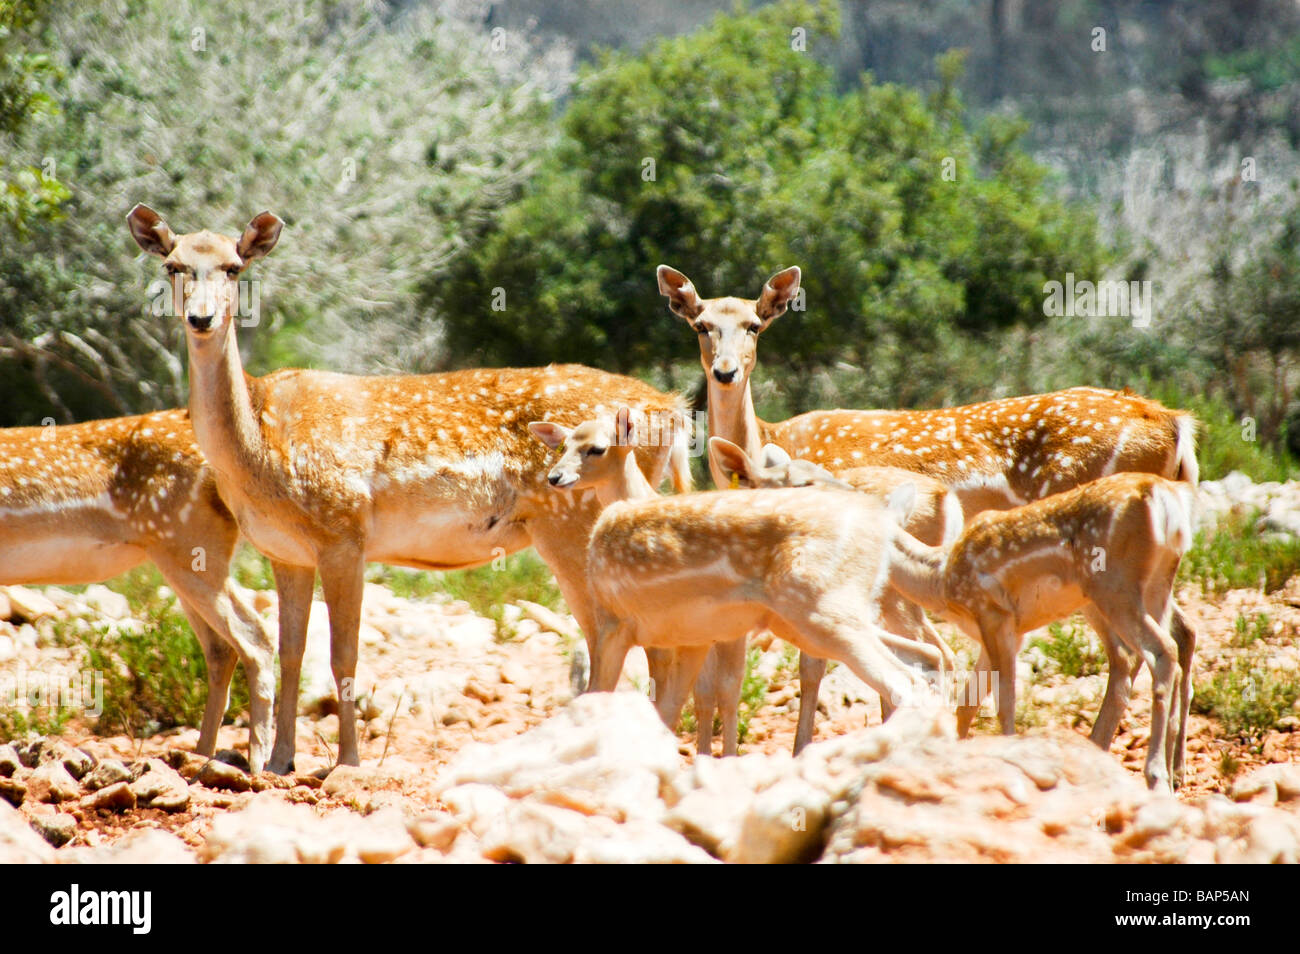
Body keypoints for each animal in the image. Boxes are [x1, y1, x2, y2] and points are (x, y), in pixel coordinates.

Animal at [126, 204, 691, 774]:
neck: (259, 447)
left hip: (574, 522)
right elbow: (291, 651)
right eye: (173, 265)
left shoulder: (343, 532)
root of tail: (673, 409)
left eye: (234, 267)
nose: (201, 319)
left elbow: (344, 654)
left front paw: (348, 761)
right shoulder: (284, 552)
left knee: (616, 638)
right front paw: (280, 762)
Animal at [530, 410, 946, 746]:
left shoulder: (623, 623)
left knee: (907, 672)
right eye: (563, 445)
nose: (555, 477)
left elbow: (703, 694)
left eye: (597, 448)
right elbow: (680, 703)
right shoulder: (690, 635)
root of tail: (886, 521)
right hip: (815, 618)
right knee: (927, 656)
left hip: (826, 610)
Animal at [883, 472, 1198, 792]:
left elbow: (1004, 703)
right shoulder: (1005, 631)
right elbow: (967, 704)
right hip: (1156, 584)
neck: (940, 579)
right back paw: (1165, 771)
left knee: (1160, 651)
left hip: (1115, 586)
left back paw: (1155, 775)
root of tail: (1162, 495)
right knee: (1159, 652)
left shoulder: (993, 614)